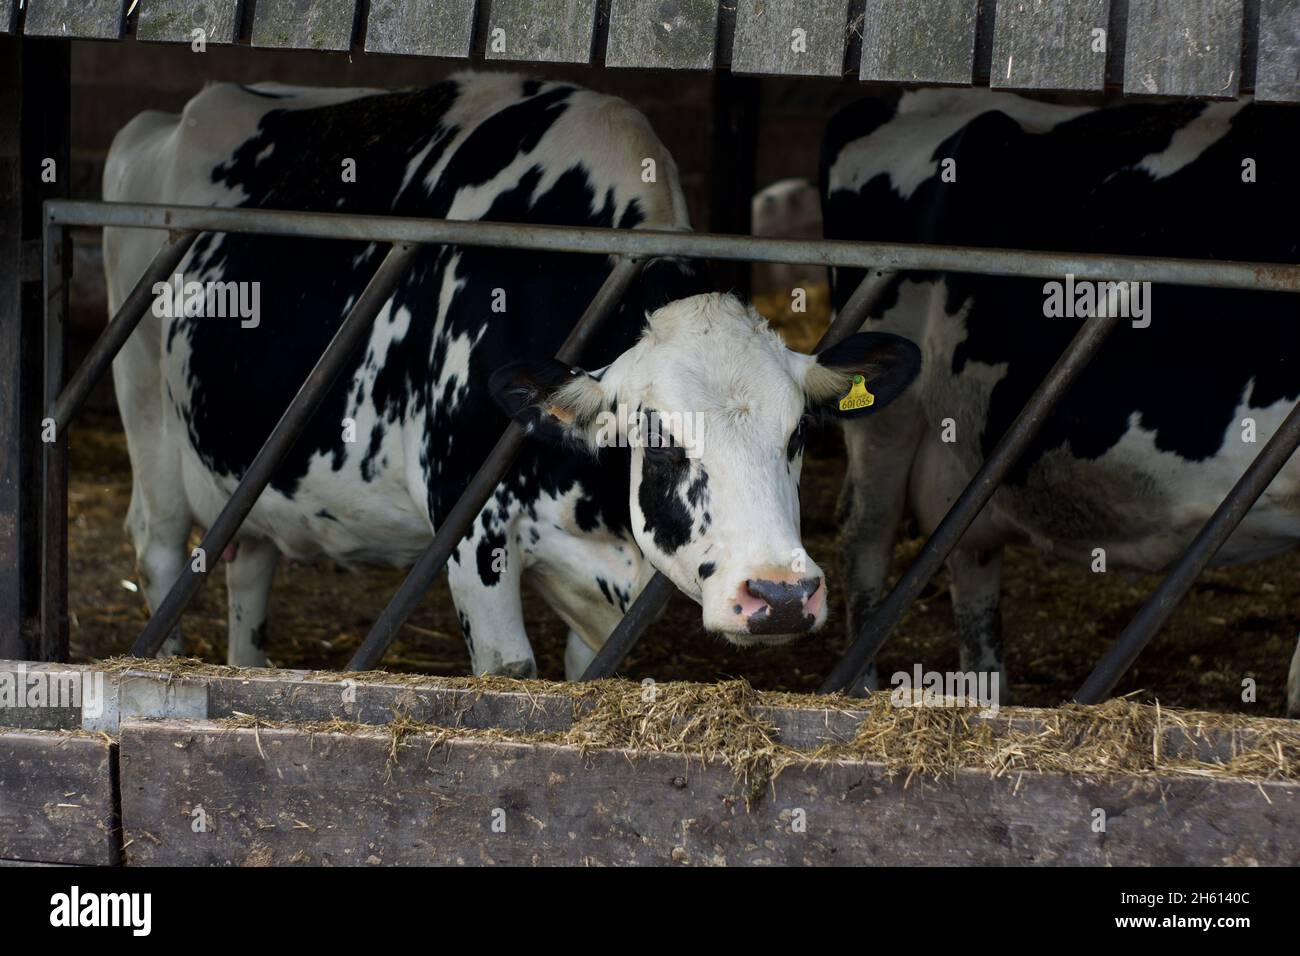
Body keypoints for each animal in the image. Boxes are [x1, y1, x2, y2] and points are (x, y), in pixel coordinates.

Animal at [102, 74, 921, 678]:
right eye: (659, 438)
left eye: (798, 436)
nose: (780, 593)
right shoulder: (469, 529)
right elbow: (510, 671)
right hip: (145, 408)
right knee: (159, 542)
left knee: (248, 561)